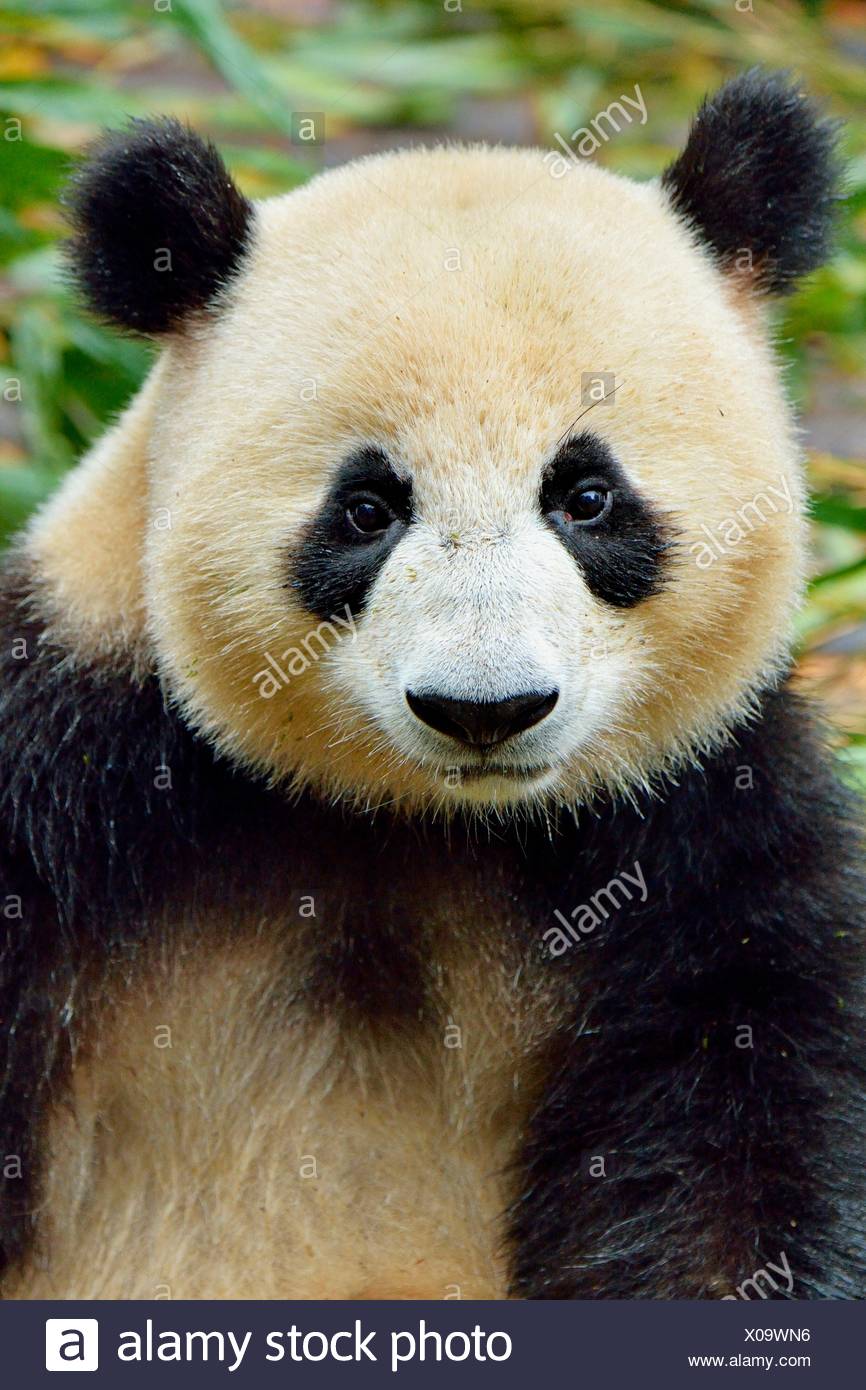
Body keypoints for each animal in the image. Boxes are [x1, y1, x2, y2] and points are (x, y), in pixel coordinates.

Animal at [0, 69, 864, 1301]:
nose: (482, 709)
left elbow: (734, 1169)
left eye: (586, 497)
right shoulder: (65, 769)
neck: (412, 823)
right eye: (366, 508)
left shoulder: (710, 828)